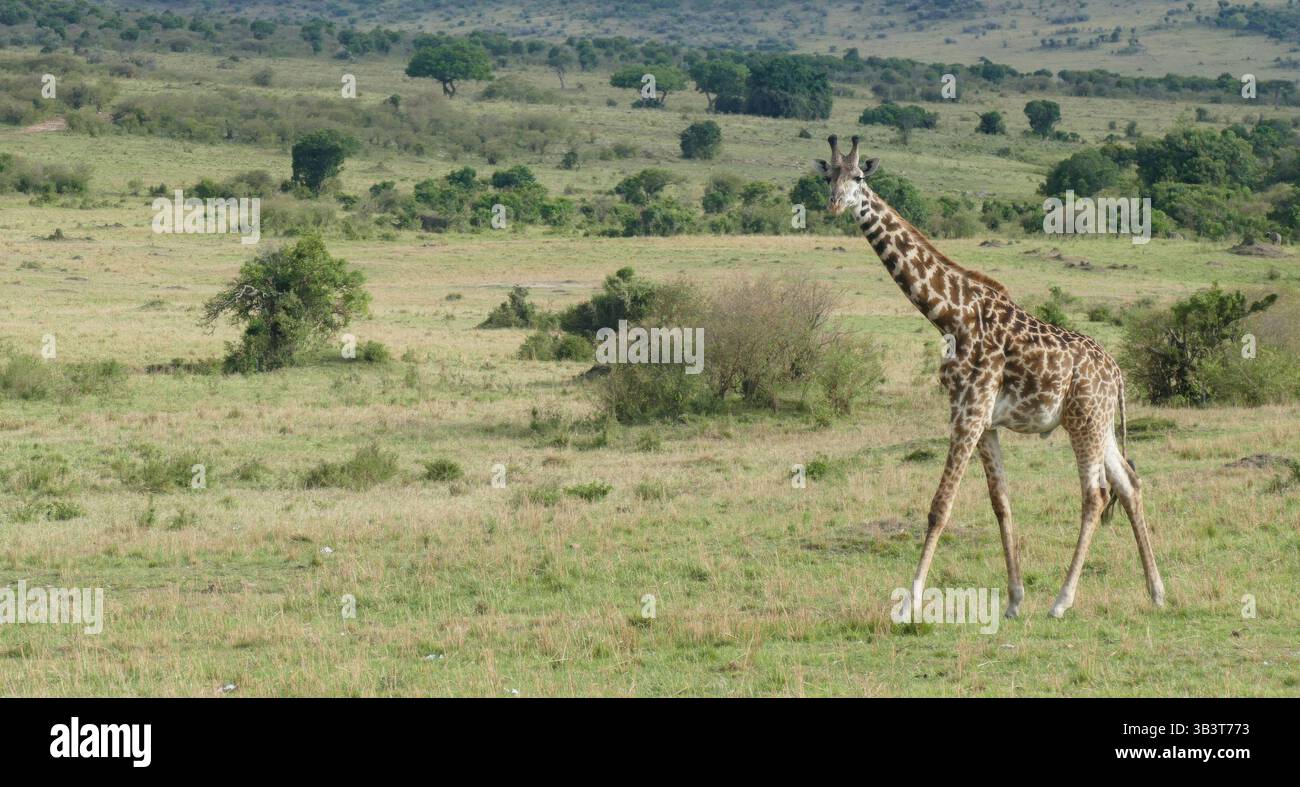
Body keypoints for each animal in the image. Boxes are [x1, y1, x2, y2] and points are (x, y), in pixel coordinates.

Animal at [815, 135, 1164, 618]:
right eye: (827, 176)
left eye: (860, 177)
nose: (834, 204)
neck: (949, 316)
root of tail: (1116, 373)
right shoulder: (983, 421)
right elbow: (1001, 503)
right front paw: (1014, 600)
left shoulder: (969, 411)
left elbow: (939, 507)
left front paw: (909, 604)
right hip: (1100, 422)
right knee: (1129, 484)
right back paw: (1156, 591)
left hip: (1084, 420)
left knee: (1095, 494)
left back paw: (1062, 601)